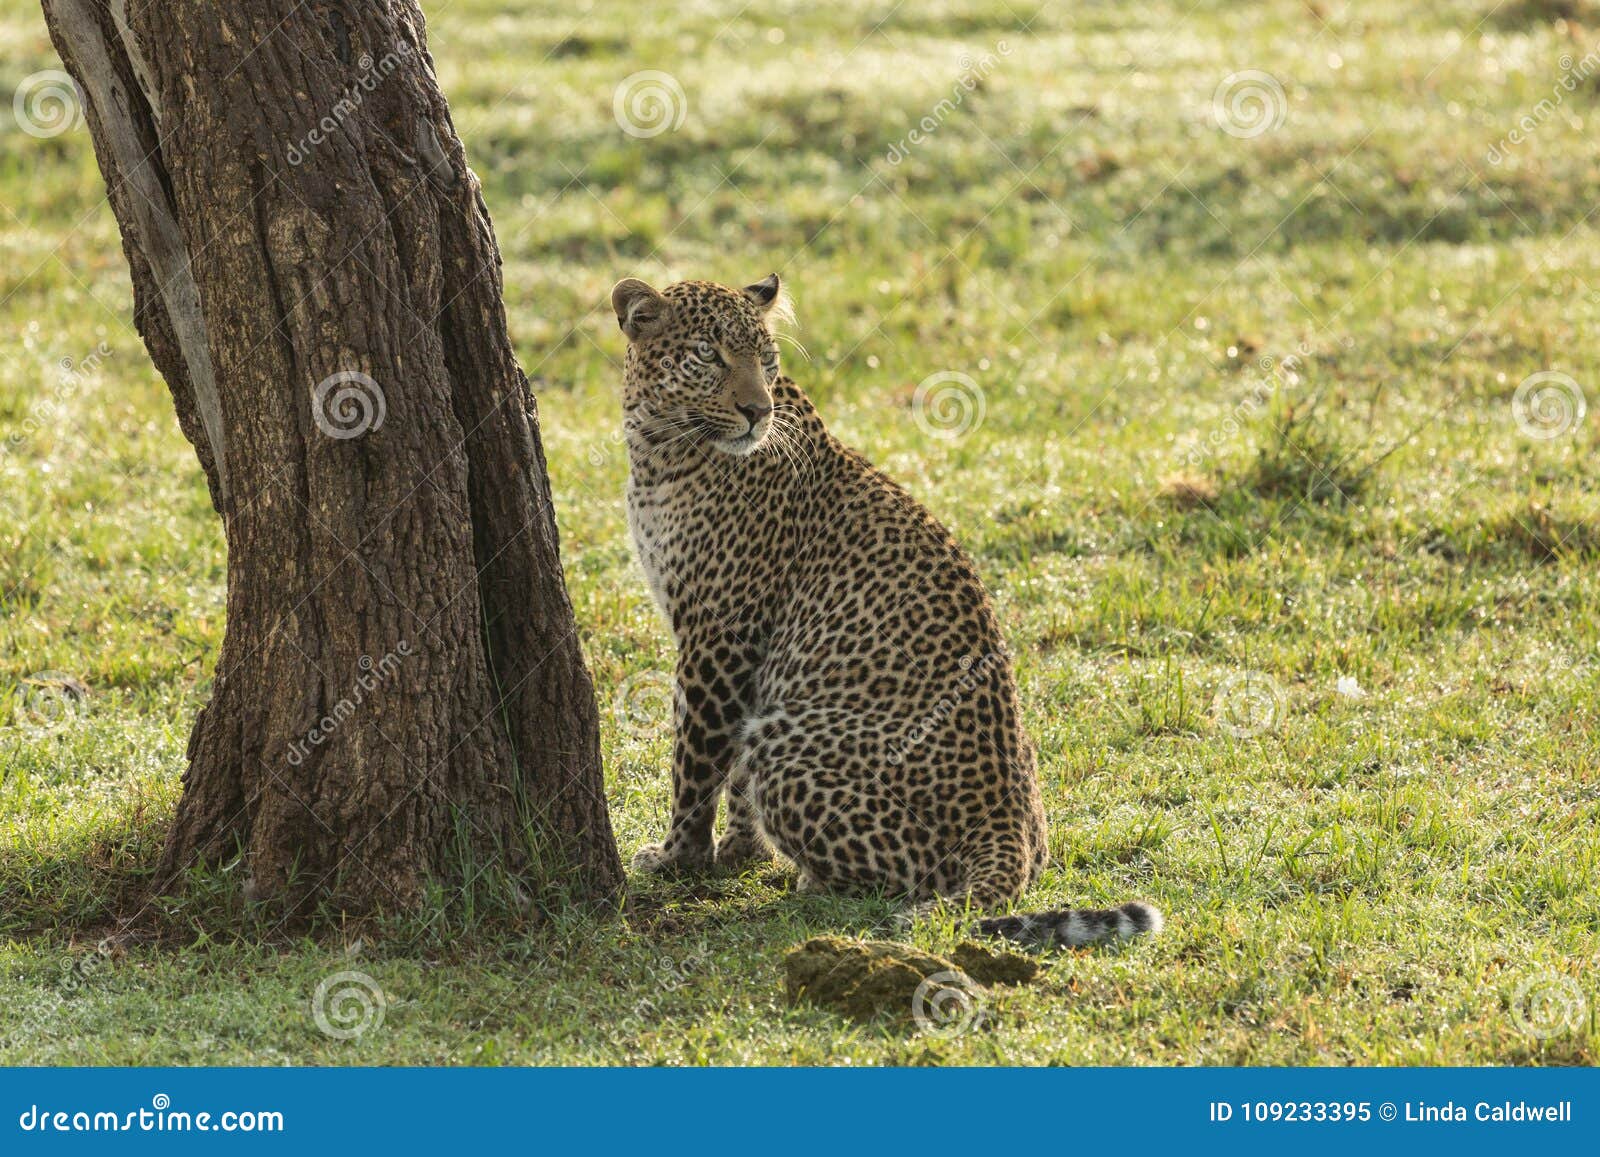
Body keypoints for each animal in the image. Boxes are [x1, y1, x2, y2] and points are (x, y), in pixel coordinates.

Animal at [611, 273, 1162, 948]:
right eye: (708, 355)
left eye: (764, 360)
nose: (756, 411)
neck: (657, 447)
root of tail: (1009, 826)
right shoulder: (735, 647)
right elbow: (729, 774)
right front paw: (741, 852)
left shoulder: (719, 634)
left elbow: (694, 762)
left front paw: (677, 860)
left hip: (787, 737)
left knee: (906, 877)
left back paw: (812, 884)